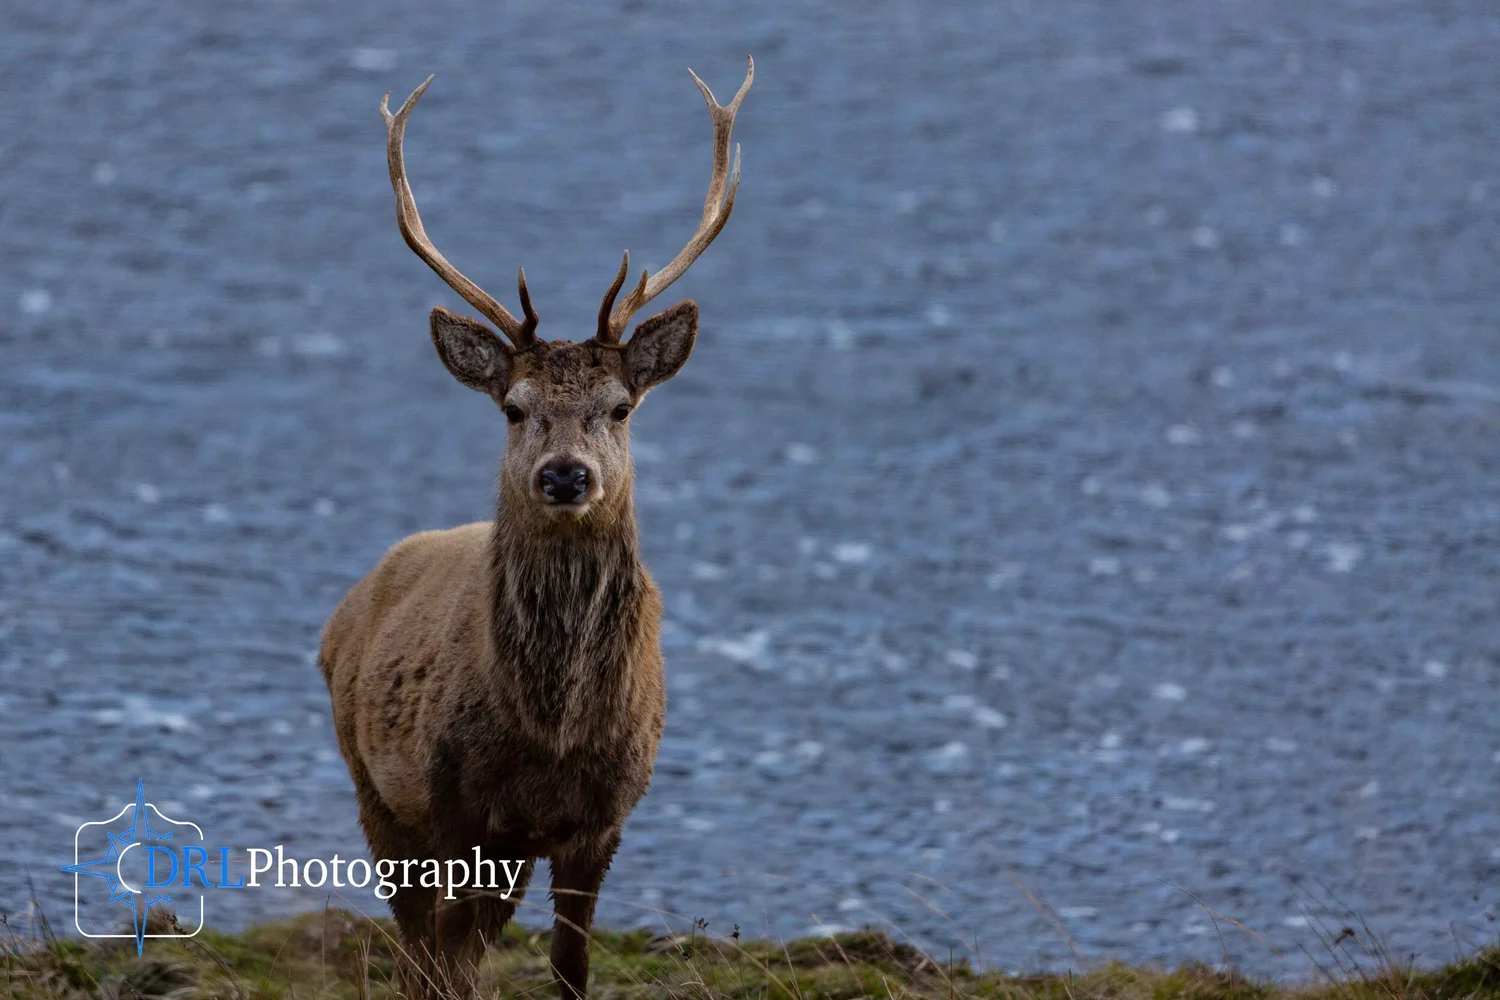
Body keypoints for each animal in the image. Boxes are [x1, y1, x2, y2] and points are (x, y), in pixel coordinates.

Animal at [317, 59, 753, 1000]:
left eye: (620, 406)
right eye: (514, 408)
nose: (564, 475)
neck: (551, 731)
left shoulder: (603, 818)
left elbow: (568, 966)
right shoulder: (452, 804)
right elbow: (443, 958)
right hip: (374, 789)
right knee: (420, 946)